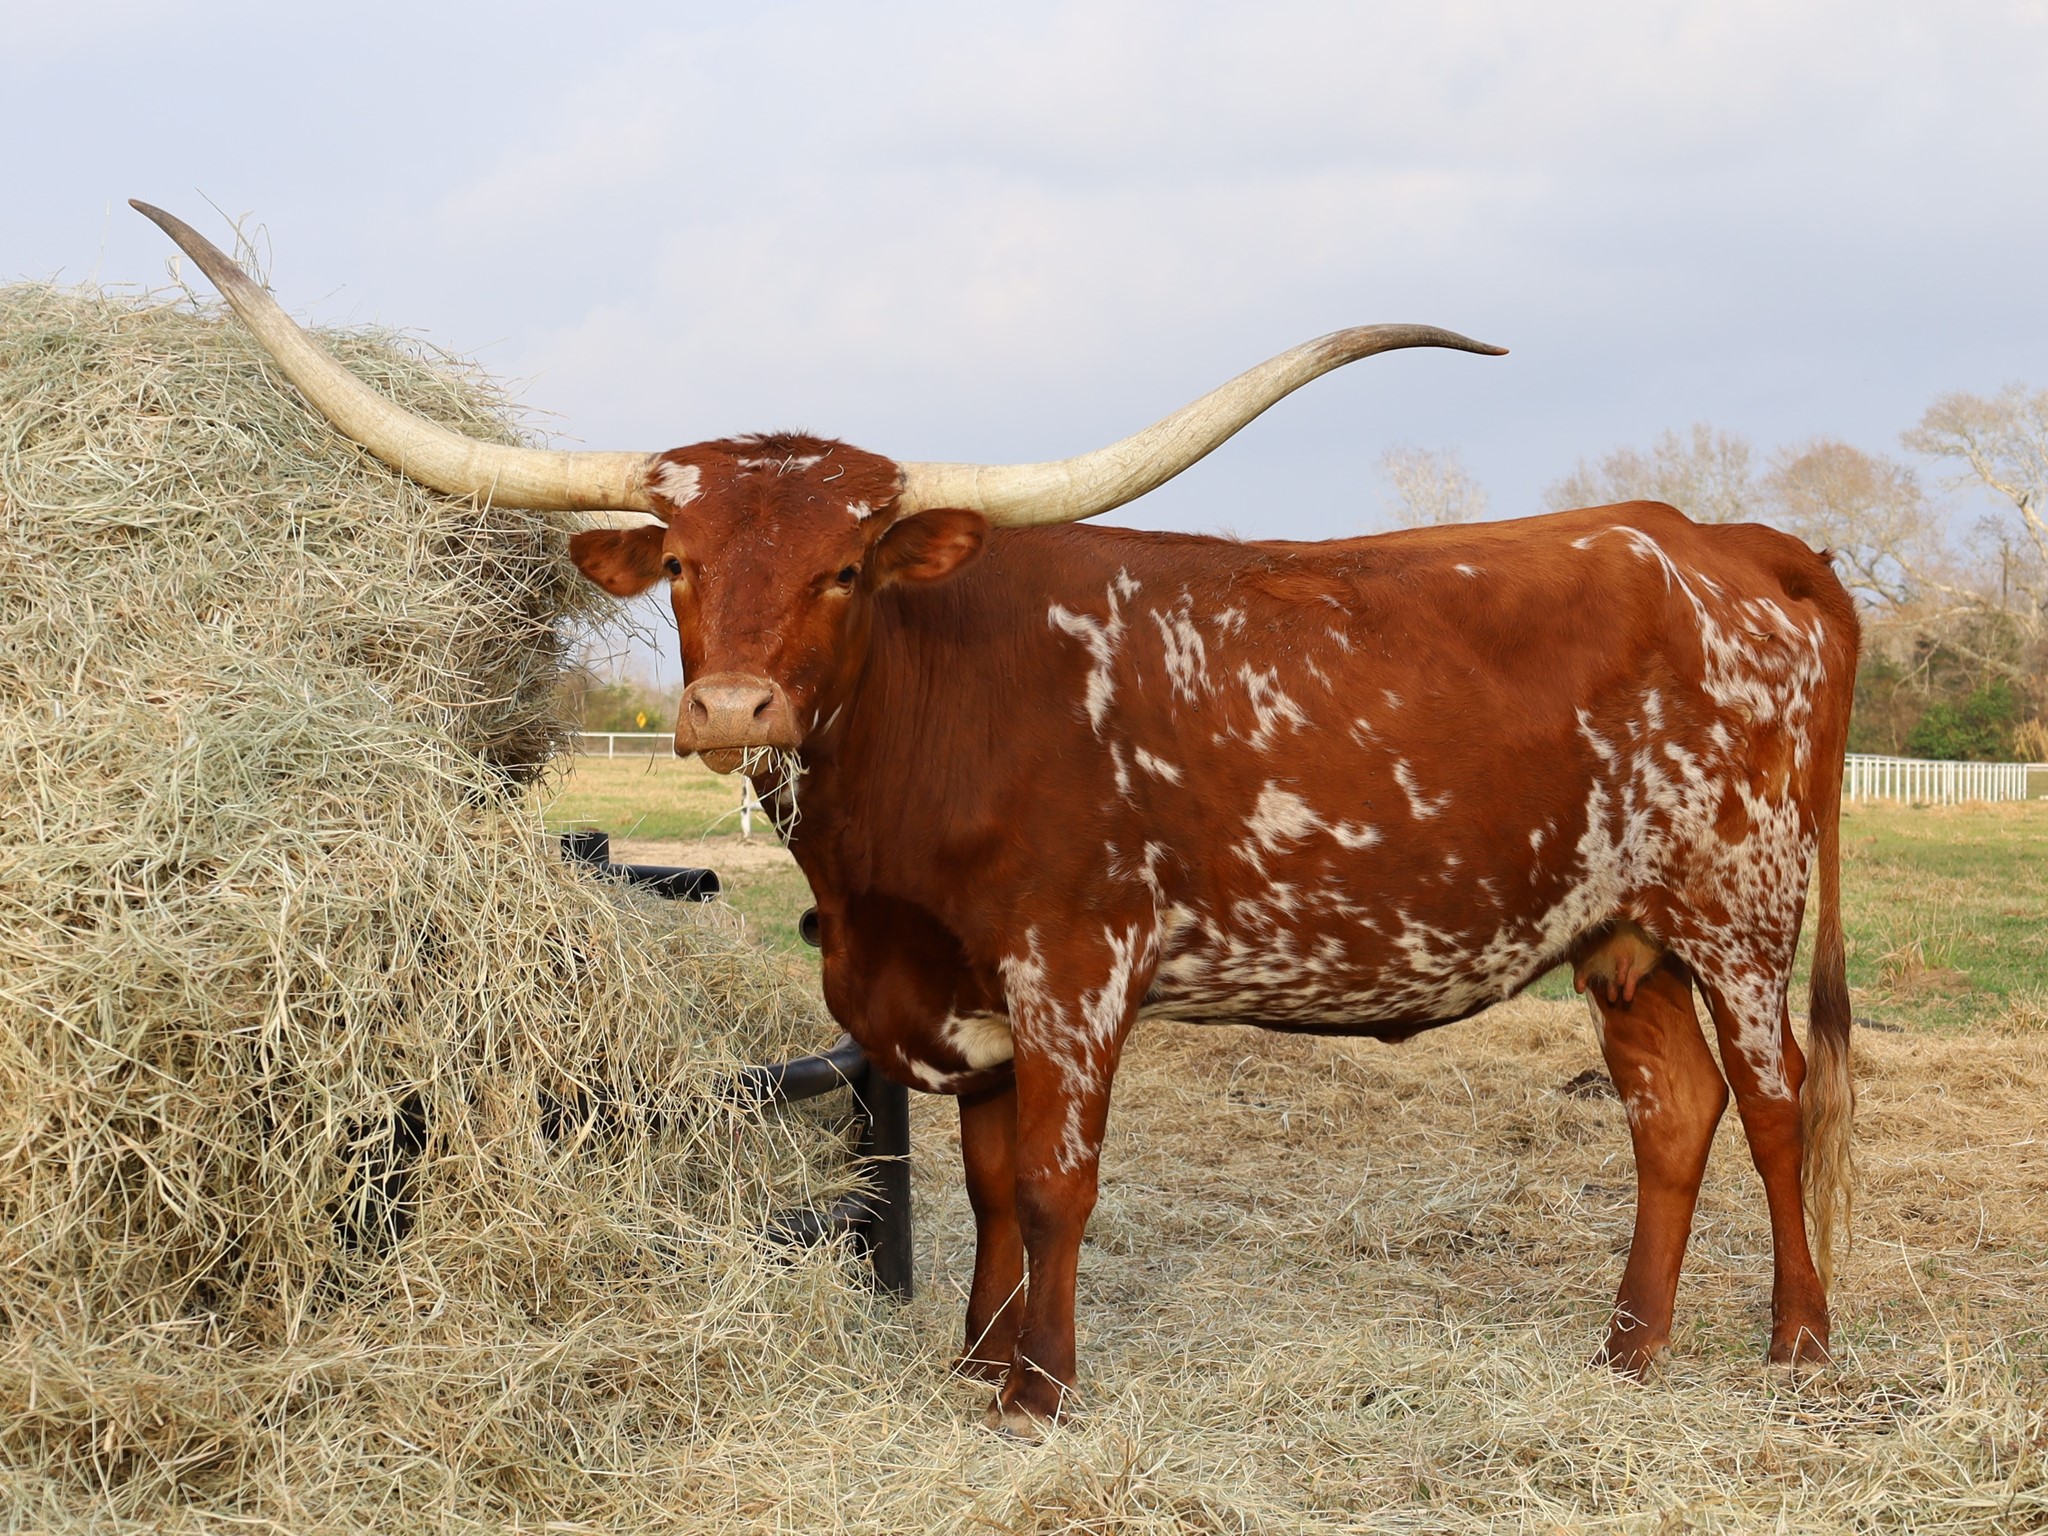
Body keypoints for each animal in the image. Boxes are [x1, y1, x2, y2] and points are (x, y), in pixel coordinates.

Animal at [138, 200, 1860, 1440]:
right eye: (683, 564)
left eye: (845, 567)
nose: (732, 710)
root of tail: (1727, 541)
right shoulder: (946, 989)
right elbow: (975, 1183)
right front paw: (971, 1366)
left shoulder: (1073, 970)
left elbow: (1053, 1182)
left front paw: (1039, 1392)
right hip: (1621, 934)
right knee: (1672, 1115)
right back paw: (1628, 1354)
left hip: (1740, 908)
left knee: (1777, 1106)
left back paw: (1797, 1349)